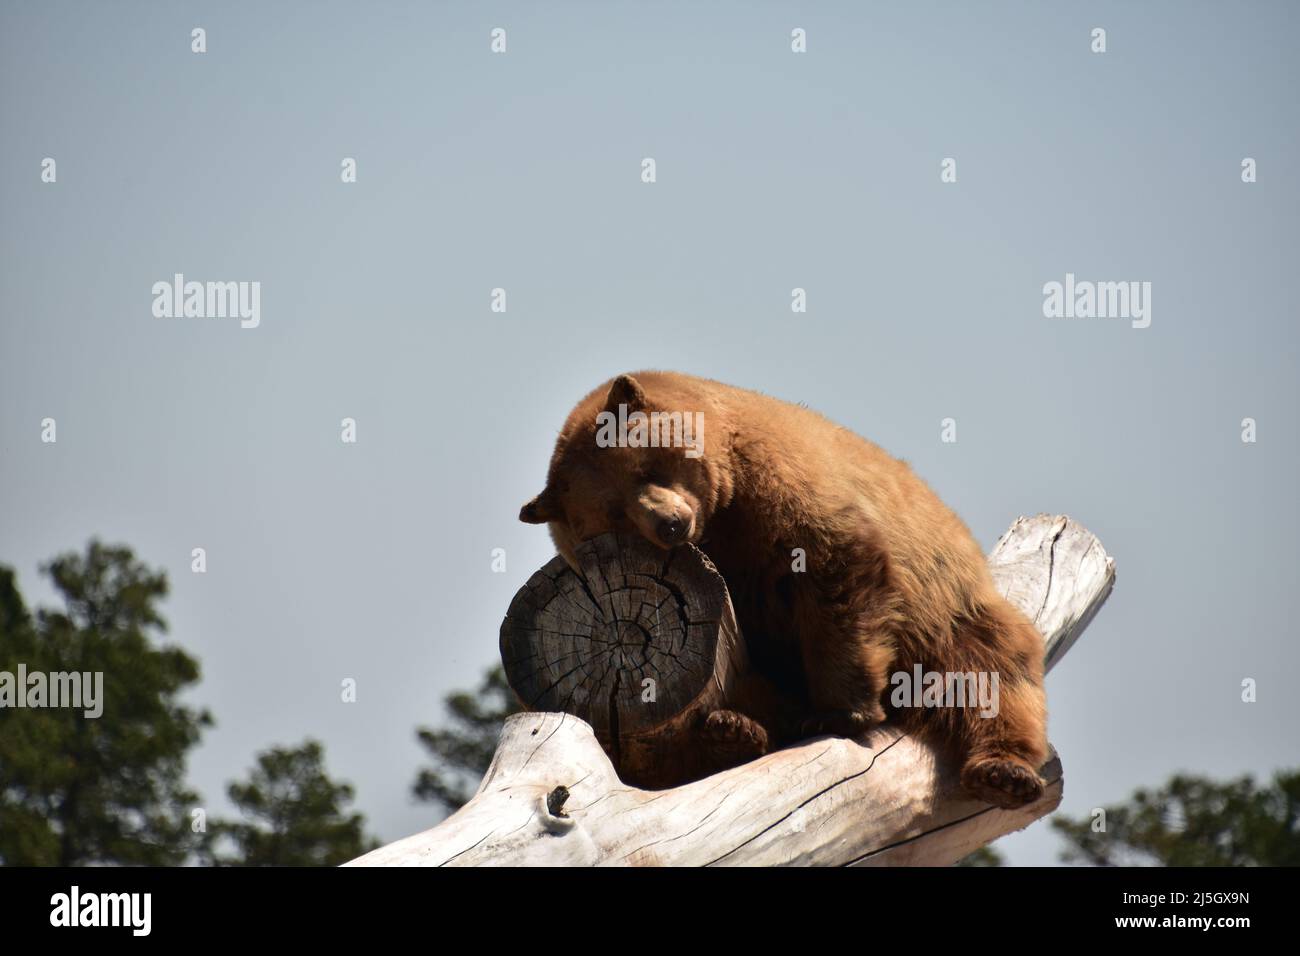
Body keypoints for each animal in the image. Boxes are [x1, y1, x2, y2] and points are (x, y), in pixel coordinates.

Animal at [519, 370, 1049, 809]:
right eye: (615, 513)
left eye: (646, 468)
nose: (671, 525)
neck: (720, 514)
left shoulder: (777, 485)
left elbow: (833, 564)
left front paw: (840, 712)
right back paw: (733, 732)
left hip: (947, 610)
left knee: (990, 675)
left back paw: (1004, 771)